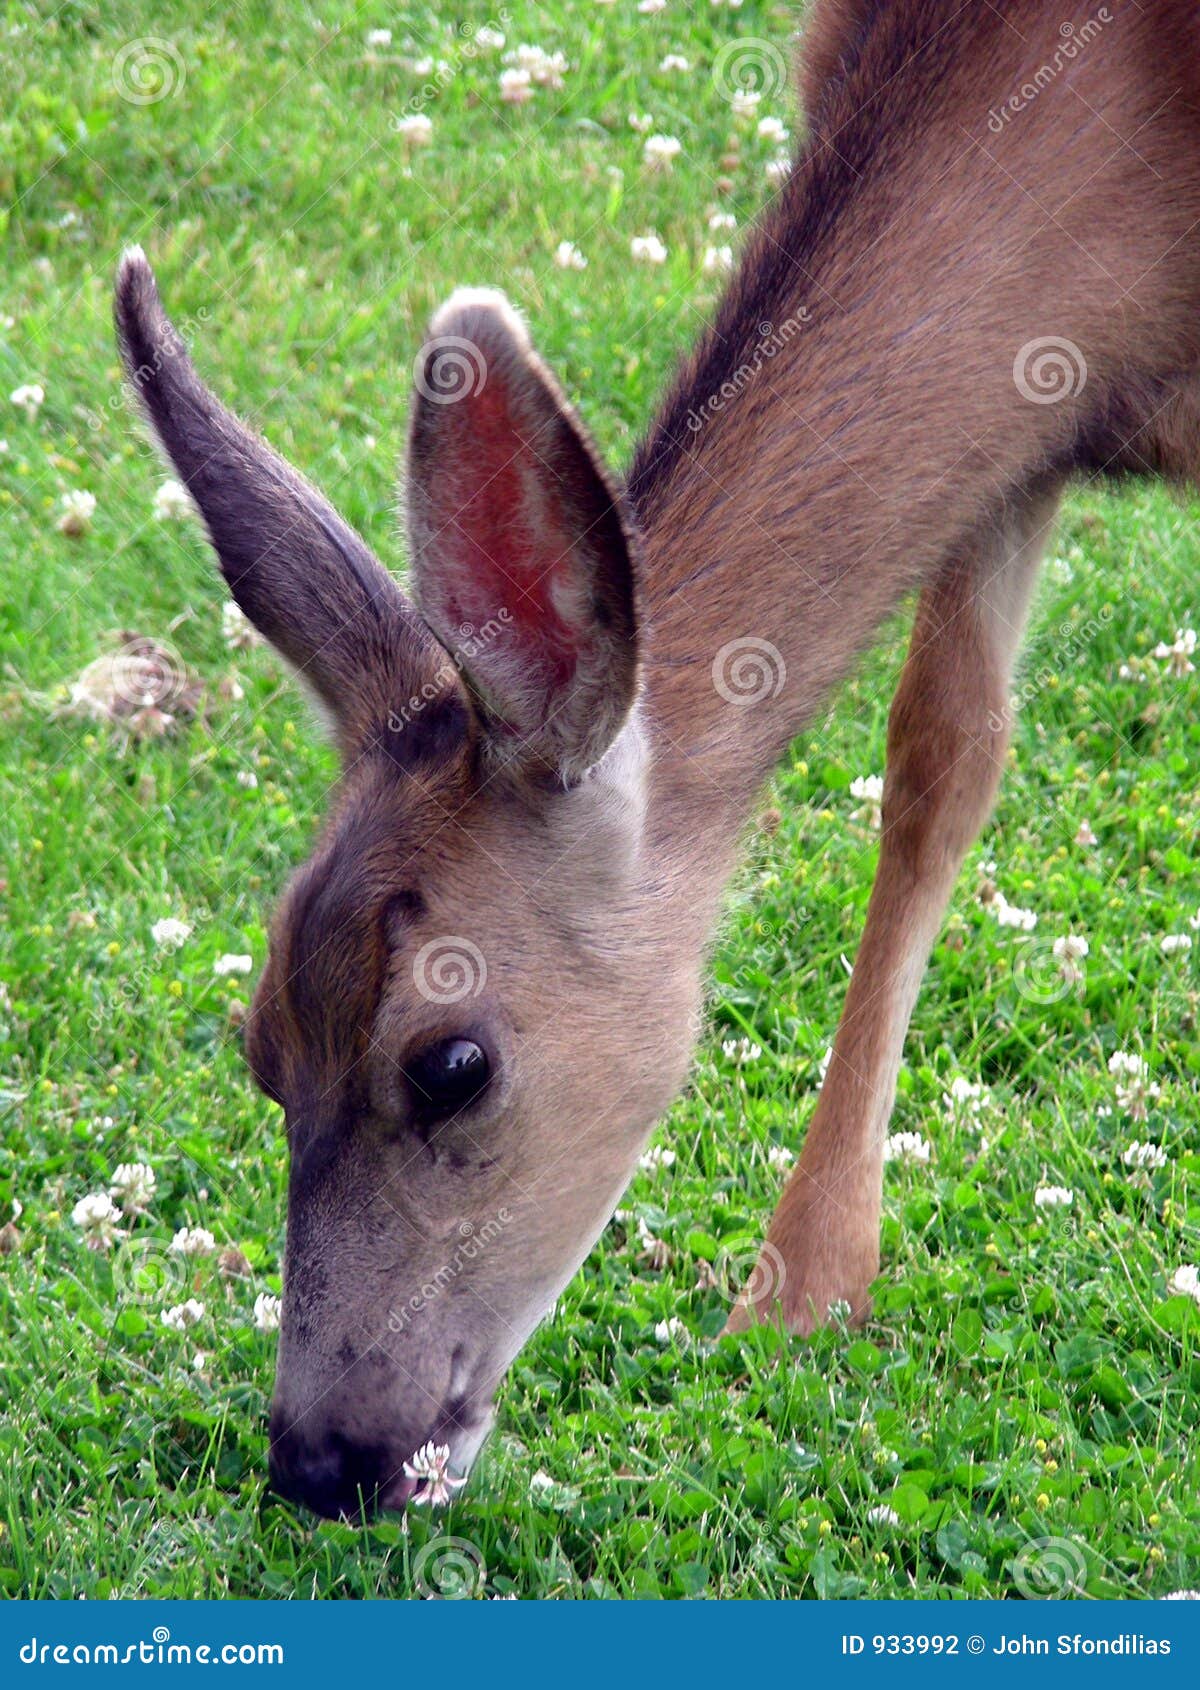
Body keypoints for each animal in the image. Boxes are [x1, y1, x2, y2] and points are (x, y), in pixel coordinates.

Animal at [113, 0, 1200, 1518]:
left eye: (452, 1063)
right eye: (260, 1041)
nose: (322, 1459)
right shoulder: (1023, 434)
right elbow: (941, 756)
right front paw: (812, 1281)